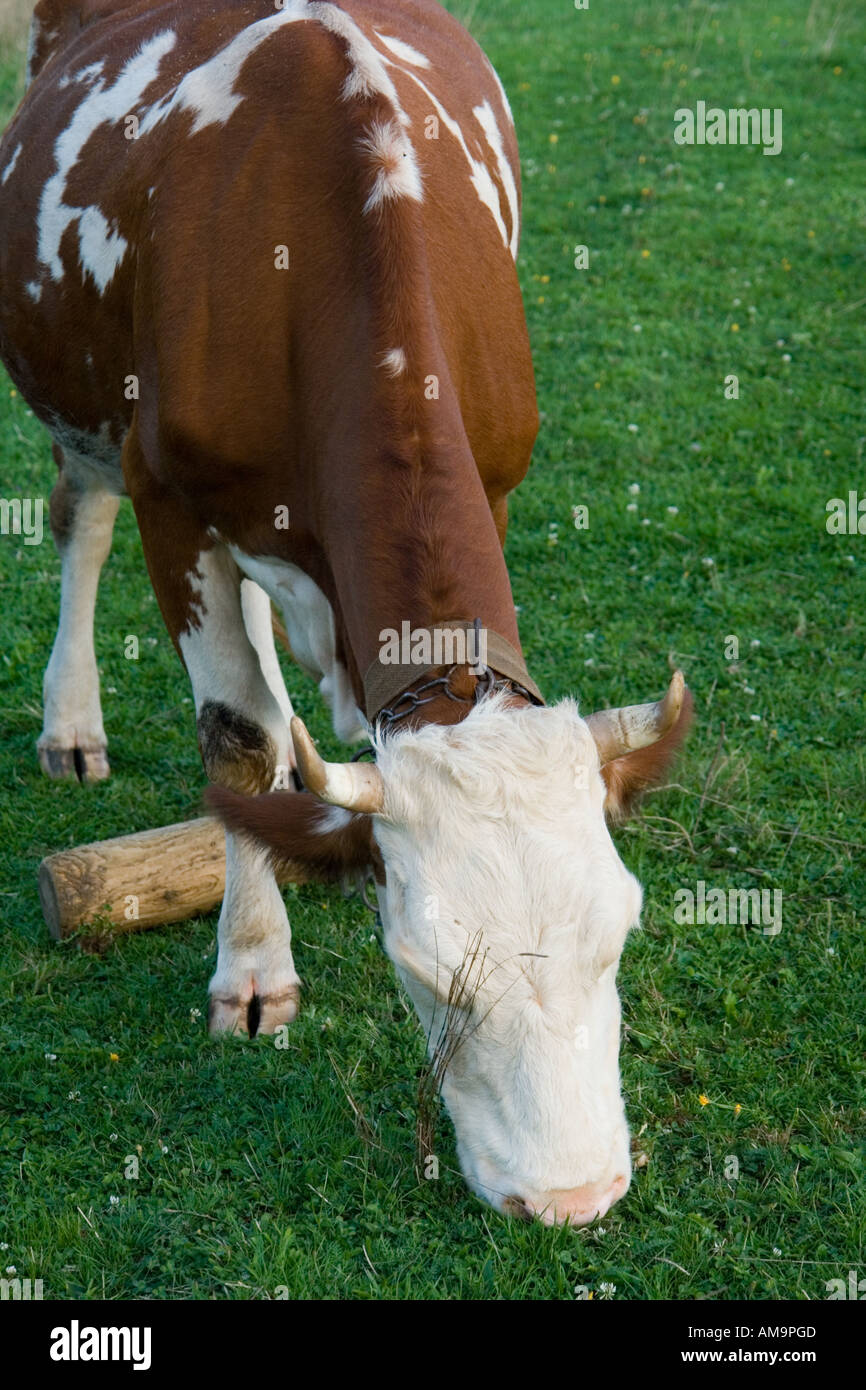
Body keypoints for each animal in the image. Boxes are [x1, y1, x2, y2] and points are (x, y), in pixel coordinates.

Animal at [0, 0, 691, 1225]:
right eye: (422, 970)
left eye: (621, 931)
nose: (570, 1197)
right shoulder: (173, 500)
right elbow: (230, 739)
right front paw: (252, 970)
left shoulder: (496, 476)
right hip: (80, 398)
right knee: (82, 518)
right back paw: (71, 722)